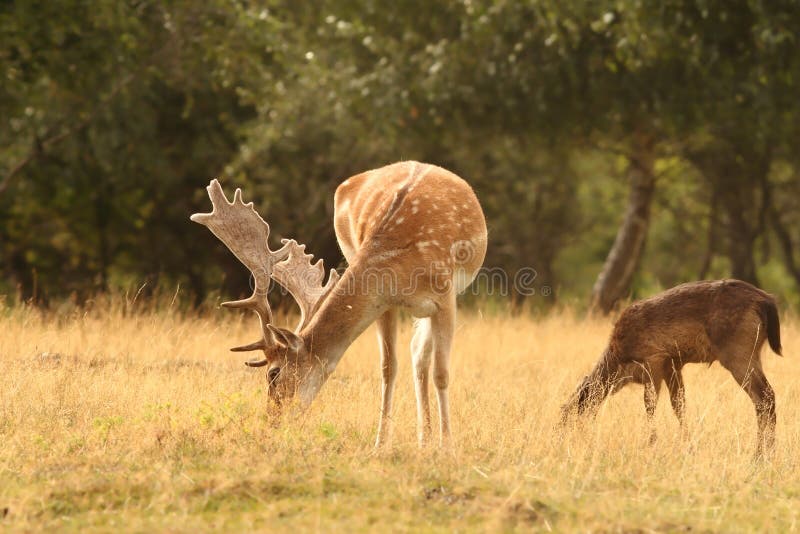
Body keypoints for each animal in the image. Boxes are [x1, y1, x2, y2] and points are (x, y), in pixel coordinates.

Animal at [191, 161, 487, 447]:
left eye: (274, 374)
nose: (271, 422)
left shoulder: (445, 296)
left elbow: (442, 373)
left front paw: (448, 448)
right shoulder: (385, 302)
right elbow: (388, 368)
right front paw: (380, 444)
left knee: (422, 356)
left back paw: (430, 440)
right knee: (417, 353)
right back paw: (423, 439)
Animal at [560, 279, 782, 457]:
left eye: (568, 414)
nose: (561, 437)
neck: (621, 364)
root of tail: (767, 301)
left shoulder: (654, 358)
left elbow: (650, 404)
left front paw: (652, 443)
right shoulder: (673, 364)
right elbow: (679, 404)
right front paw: (688, 445)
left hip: (737, 351)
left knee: (764, 396)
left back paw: (761, 454)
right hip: (753, 352)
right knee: (765, 397)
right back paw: (765, 452)